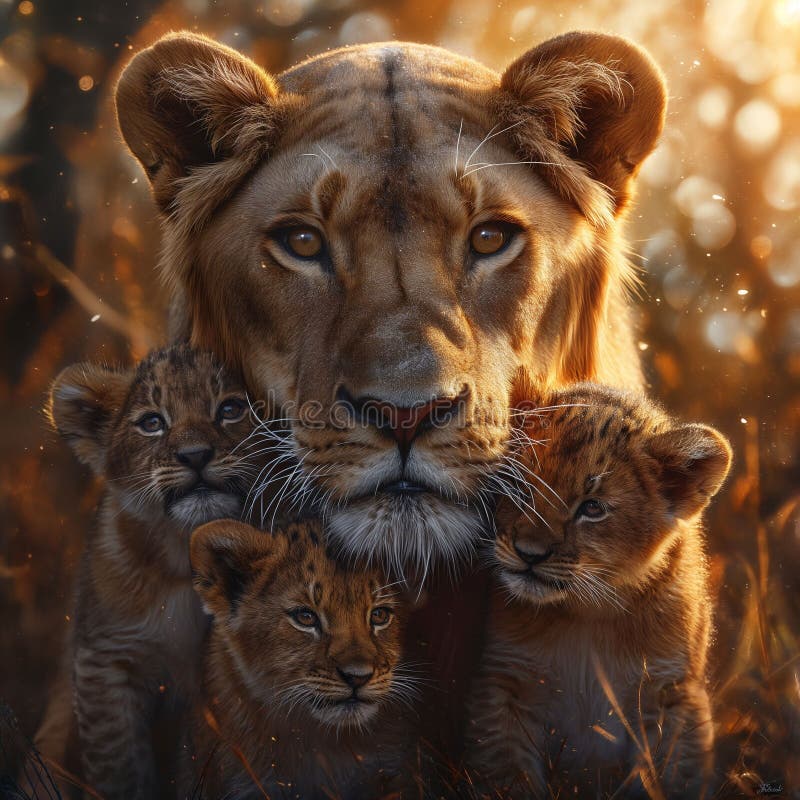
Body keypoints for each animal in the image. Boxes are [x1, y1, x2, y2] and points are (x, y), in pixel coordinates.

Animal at [465, 380, 732, 798]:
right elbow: (510, 776)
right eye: (518, 487)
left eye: (592, 508)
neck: (589, 613)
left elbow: (668, 778)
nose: (529, 554)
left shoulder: (671, 692)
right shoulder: (507, 681)